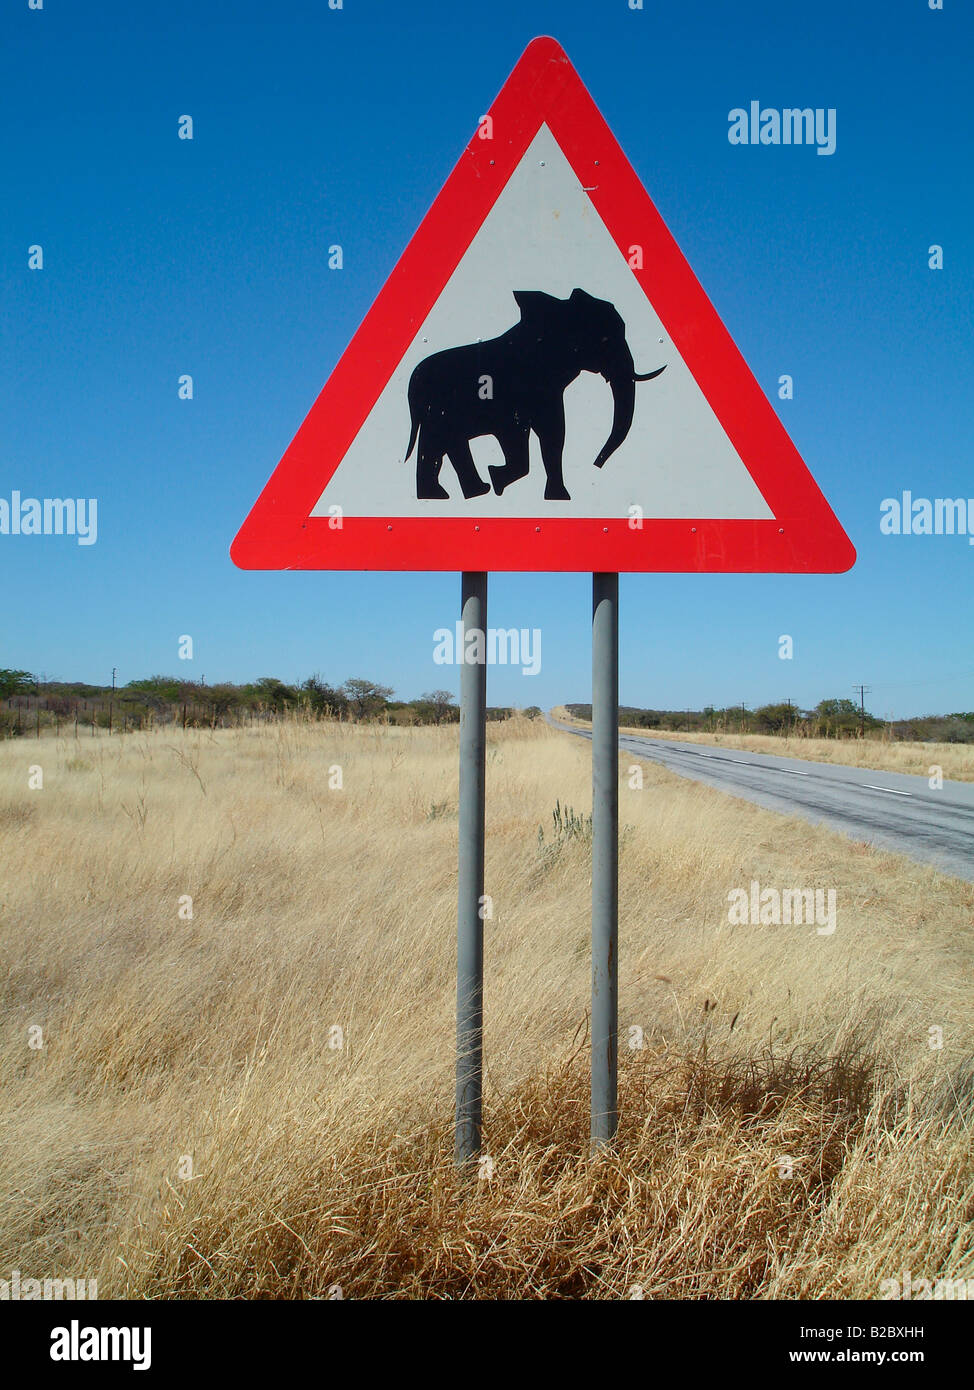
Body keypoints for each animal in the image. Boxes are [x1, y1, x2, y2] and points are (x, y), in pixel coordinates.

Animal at [403, 288, 666, 502]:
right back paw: (472, 491)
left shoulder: (548, 394)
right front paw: (497, 478)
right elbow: (521, 436)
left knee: (436, 446)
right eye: (605, 338)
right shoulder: (513, 399)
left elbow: (554, 434)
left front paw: (558, 498)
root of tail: (412, 382)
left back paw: (444, 495)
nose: (596, 464)